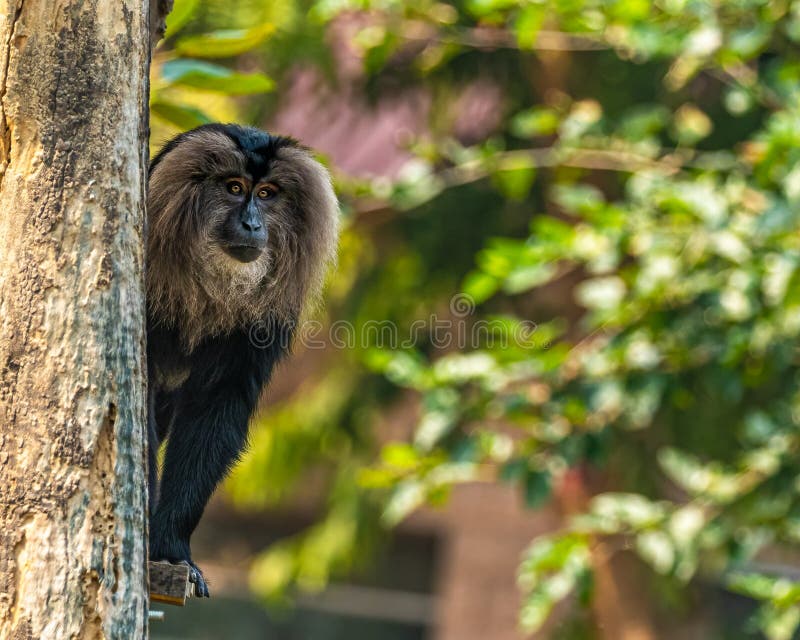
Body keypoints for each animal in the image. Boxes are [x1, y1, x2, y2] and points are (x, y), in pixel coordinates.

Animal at [145, 123, 339, 597]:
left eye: (267, 194)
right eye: (234, 188)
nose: (252, 223)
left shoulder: (258, 327)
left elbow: (215, 417)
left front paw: (170, 550)